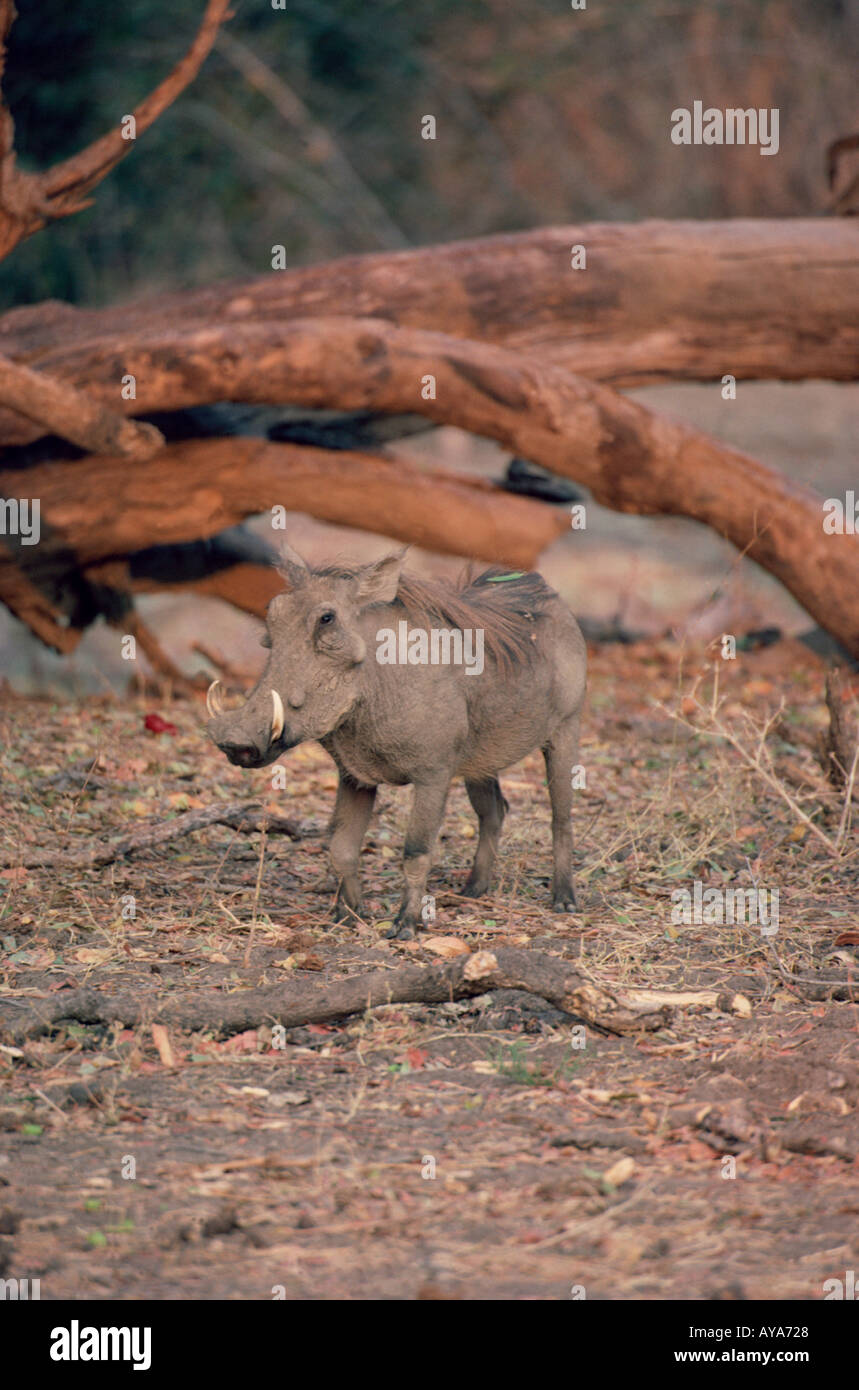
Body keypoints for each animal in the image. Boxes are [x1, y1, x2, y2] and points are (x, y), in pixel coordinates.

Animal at [206, 544, 586, 939]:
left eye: (327, 619)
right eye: (273, 612)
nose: (235, 742)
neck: (374, 689)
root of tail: (548, 592)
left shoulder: (433, 774)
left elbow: (416, 851)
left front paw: (406, 925)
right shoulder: (354, 776)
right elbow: (341, 847)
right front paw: (347, 915)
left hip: (567, 729)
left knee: (561, 818)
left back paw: (564, 900)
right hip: (480, 760)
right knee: (494, 810)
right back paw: (473, 890)